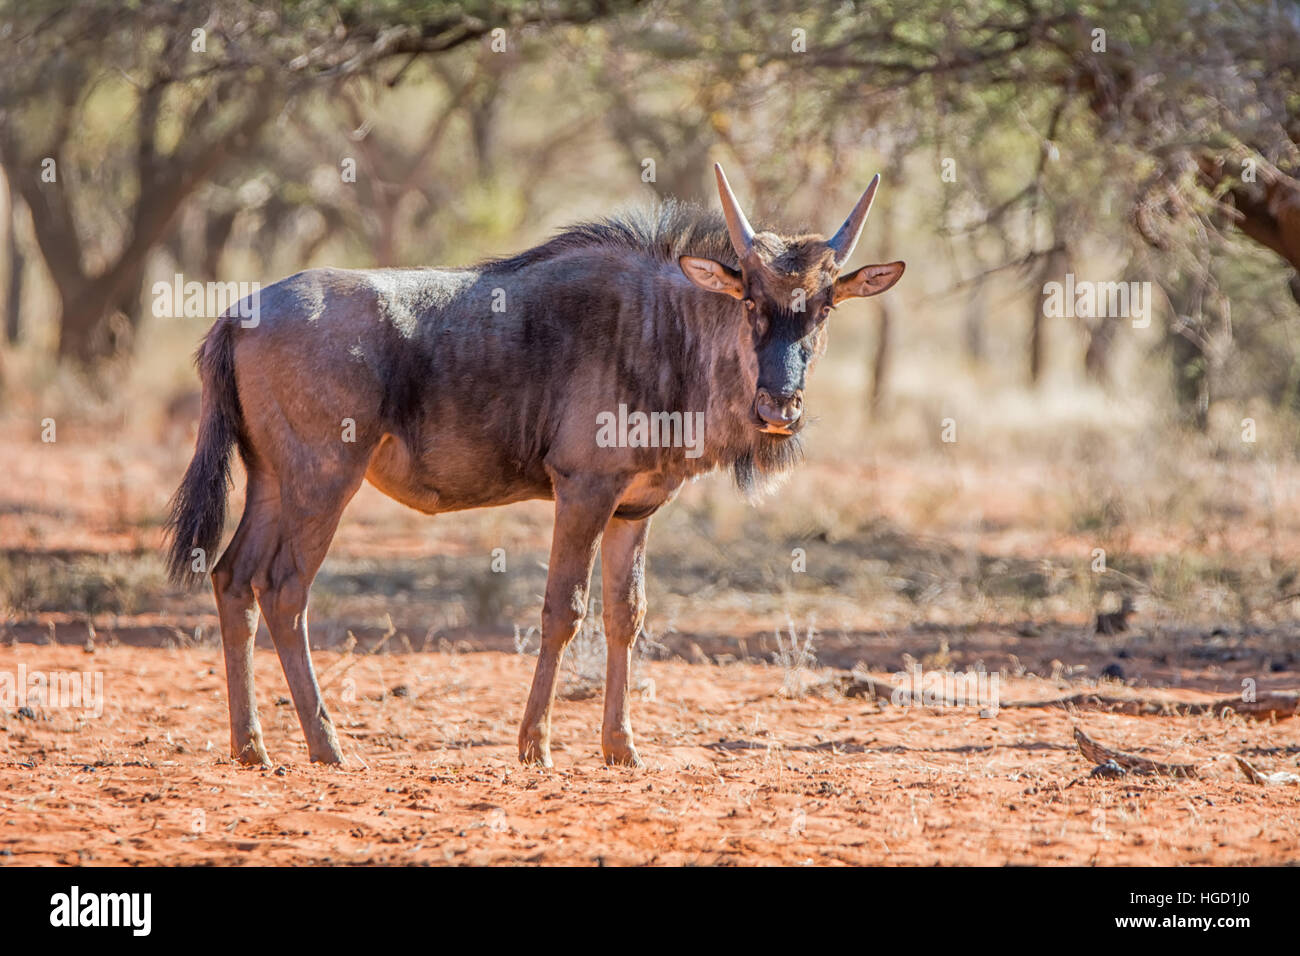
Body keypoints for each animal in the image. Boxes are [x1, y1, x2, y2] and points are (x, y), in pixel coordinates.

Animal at [166, 164, 904, 768]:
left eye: (826, 304)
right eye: (751, 297)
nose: (780, 404)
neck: (665, 327)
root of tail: (238, 314)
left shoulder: (634, 509)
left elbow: (625, 615)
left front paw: (621, 748)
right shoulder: (583, 493)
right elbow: (563, 611)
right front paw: (535, 746)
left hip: (272, 482)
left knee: (233, 579)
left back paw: (252, 747)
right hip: (323, 482)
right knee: (284, 588)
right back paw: (326, 745)